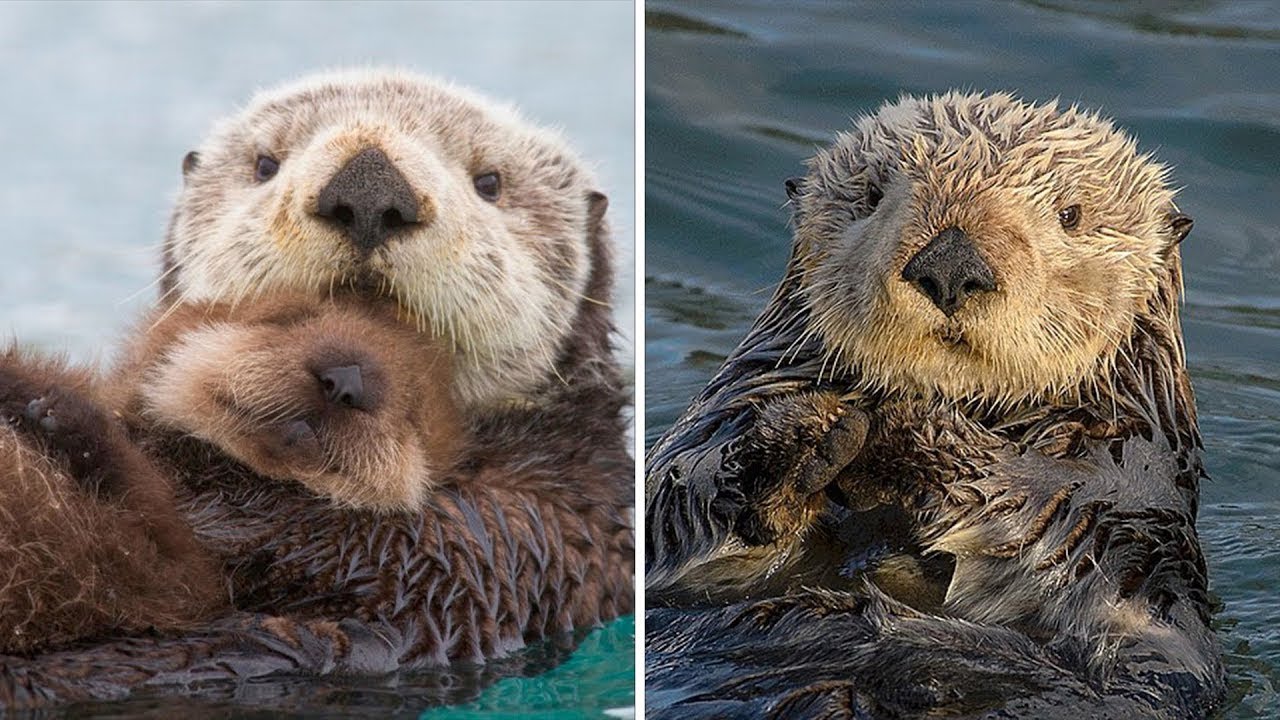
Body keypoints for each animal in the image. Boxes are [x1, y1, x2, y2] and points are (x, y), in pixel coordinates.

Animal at [646, 92, 1221, 718]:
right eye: (871, 196)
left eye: (1071, 215)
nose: (949, 264)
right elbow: (671, 501)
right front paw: (806, 438)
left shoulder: (1131, 493)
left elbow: (1063, 520)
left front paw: (898, 436)